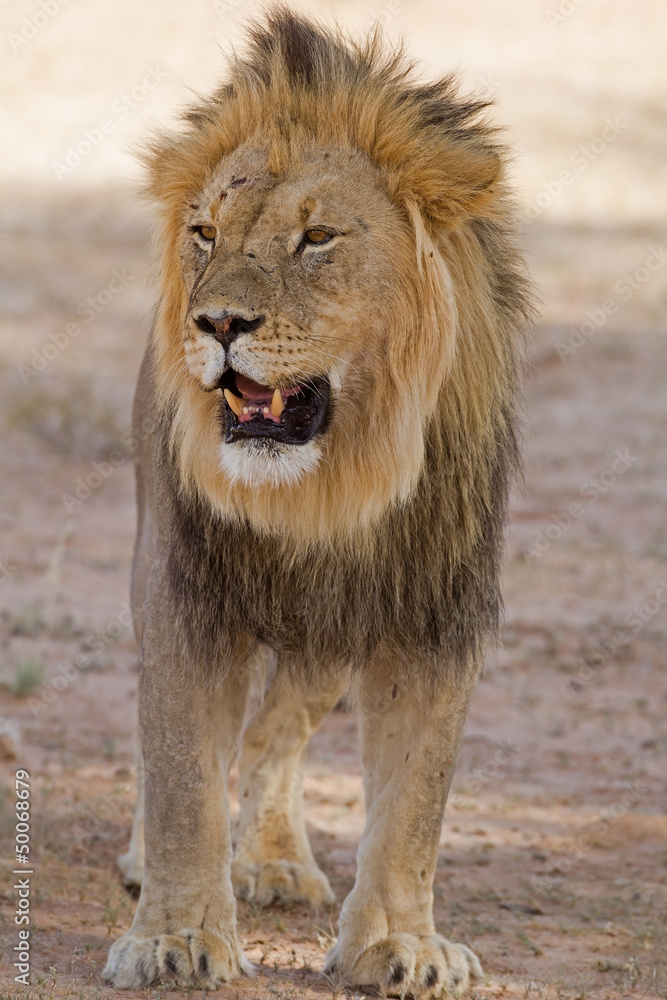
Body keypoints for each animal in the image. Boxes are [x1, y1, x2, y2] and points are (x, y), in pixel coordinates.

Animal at [103, 7, 532, 997]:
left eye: (318, 238)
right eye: (205, 232)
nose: (217, 324)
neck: (327, 495)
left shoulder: (430, 615)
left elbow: (416, 799)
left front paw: (399, 944)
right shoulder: (182, 590)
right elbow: (181, 767)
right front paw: (177, 936)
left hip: (327, 641)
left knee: (273, 734)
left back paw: (271, 858)